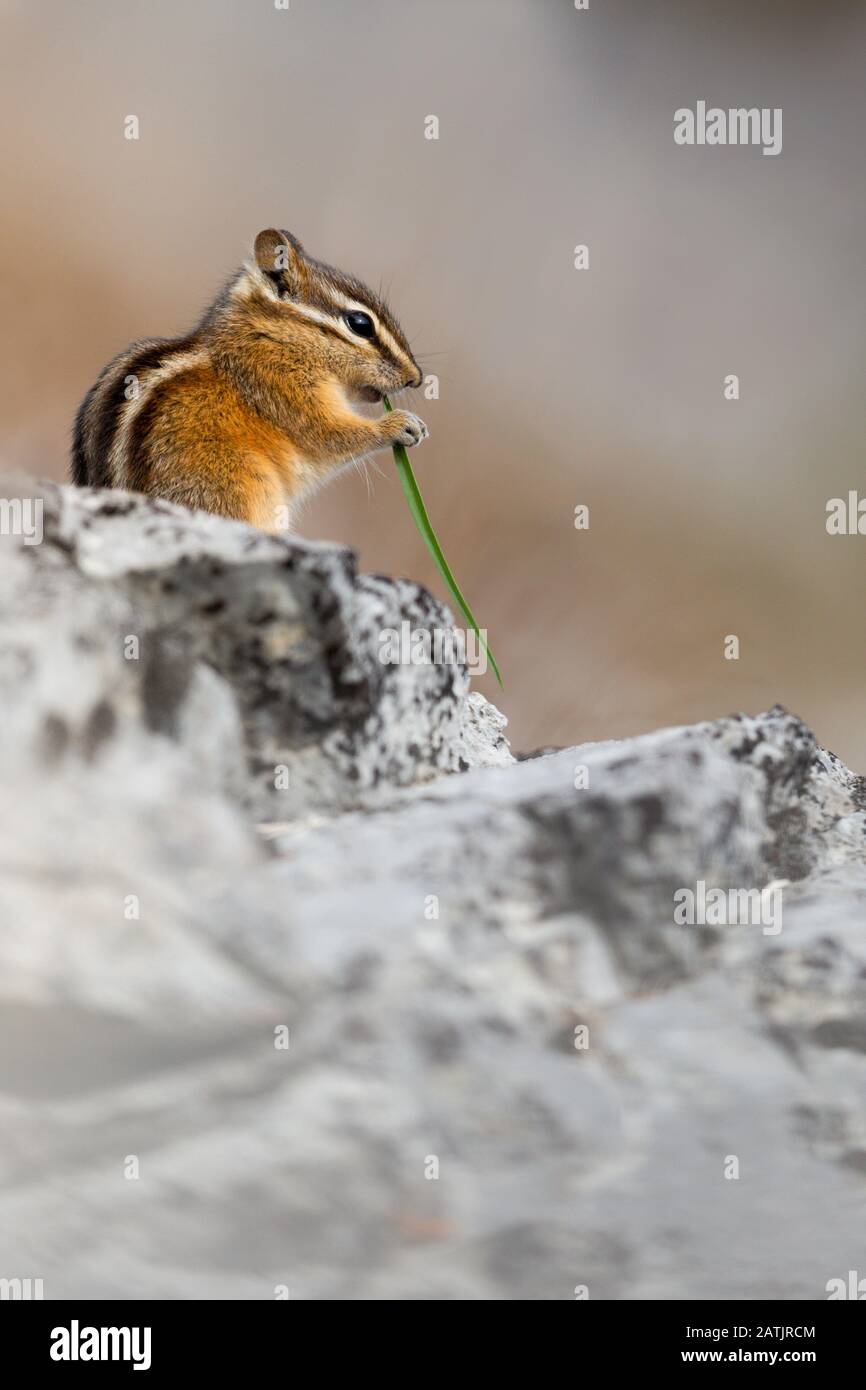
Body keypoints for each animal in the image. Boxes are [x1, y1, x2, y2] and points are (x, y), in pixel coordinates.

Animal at [71, 228, 428, 530]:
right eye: (360, 323)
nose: (415, 378)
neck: (272, 336)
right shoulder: (282, 386)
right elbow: (328, 435)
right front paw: (399, 425)